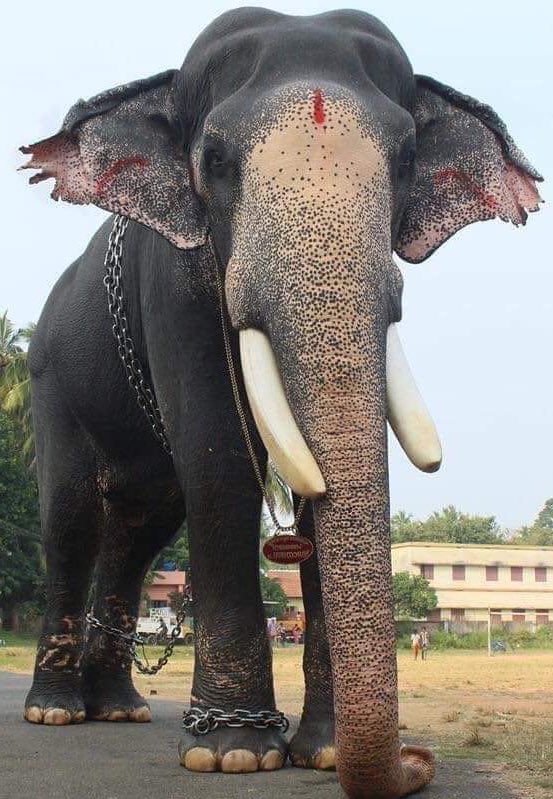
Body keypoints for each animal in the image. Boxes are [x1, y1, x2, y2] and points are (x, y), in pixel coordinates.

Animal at [19, 7, 542, 799]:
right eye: (214, 158)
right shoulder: (174, 285)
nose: (419, 759)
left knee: (139, 533)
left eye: (405, 160)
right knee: (73, 519)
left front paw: (320, 752)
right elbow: (220, 463)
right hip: (51, 379)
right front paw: (232, 751)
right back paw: (54, 712)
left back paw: (119, 708)